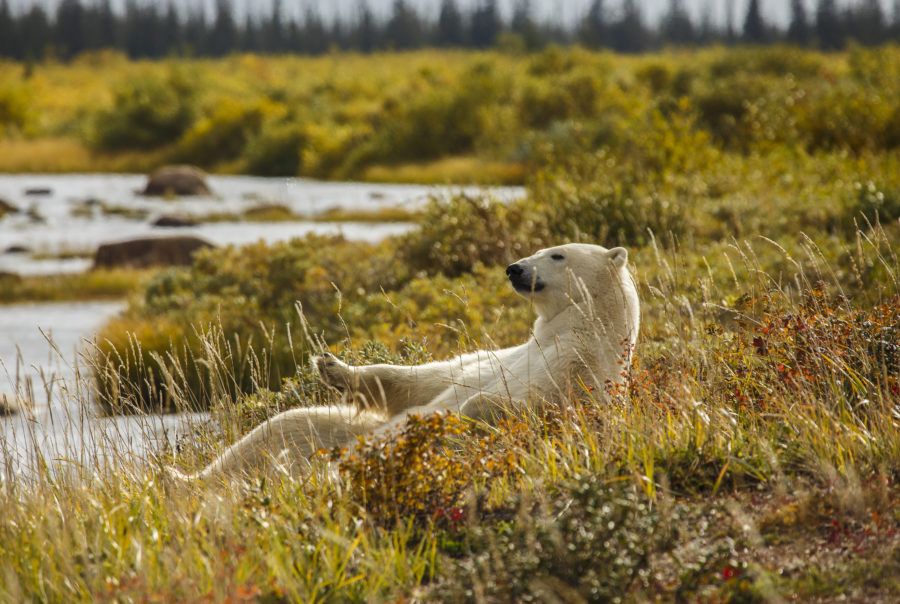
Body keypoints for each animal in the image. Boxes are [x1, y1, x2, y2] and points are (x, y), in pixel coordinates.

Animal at [180, 243, 640, 481]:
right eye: (540, 249)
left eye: (558, 255)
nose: (514, 268)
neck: (570, 327)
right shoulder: (511, 353)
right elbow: (434, 377)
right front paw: (332, 366)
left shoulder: (580, 365)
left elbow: (519, 403)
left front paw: (456, 417)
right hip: (327, 431)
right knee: (275, 430)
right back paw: (184, 480)